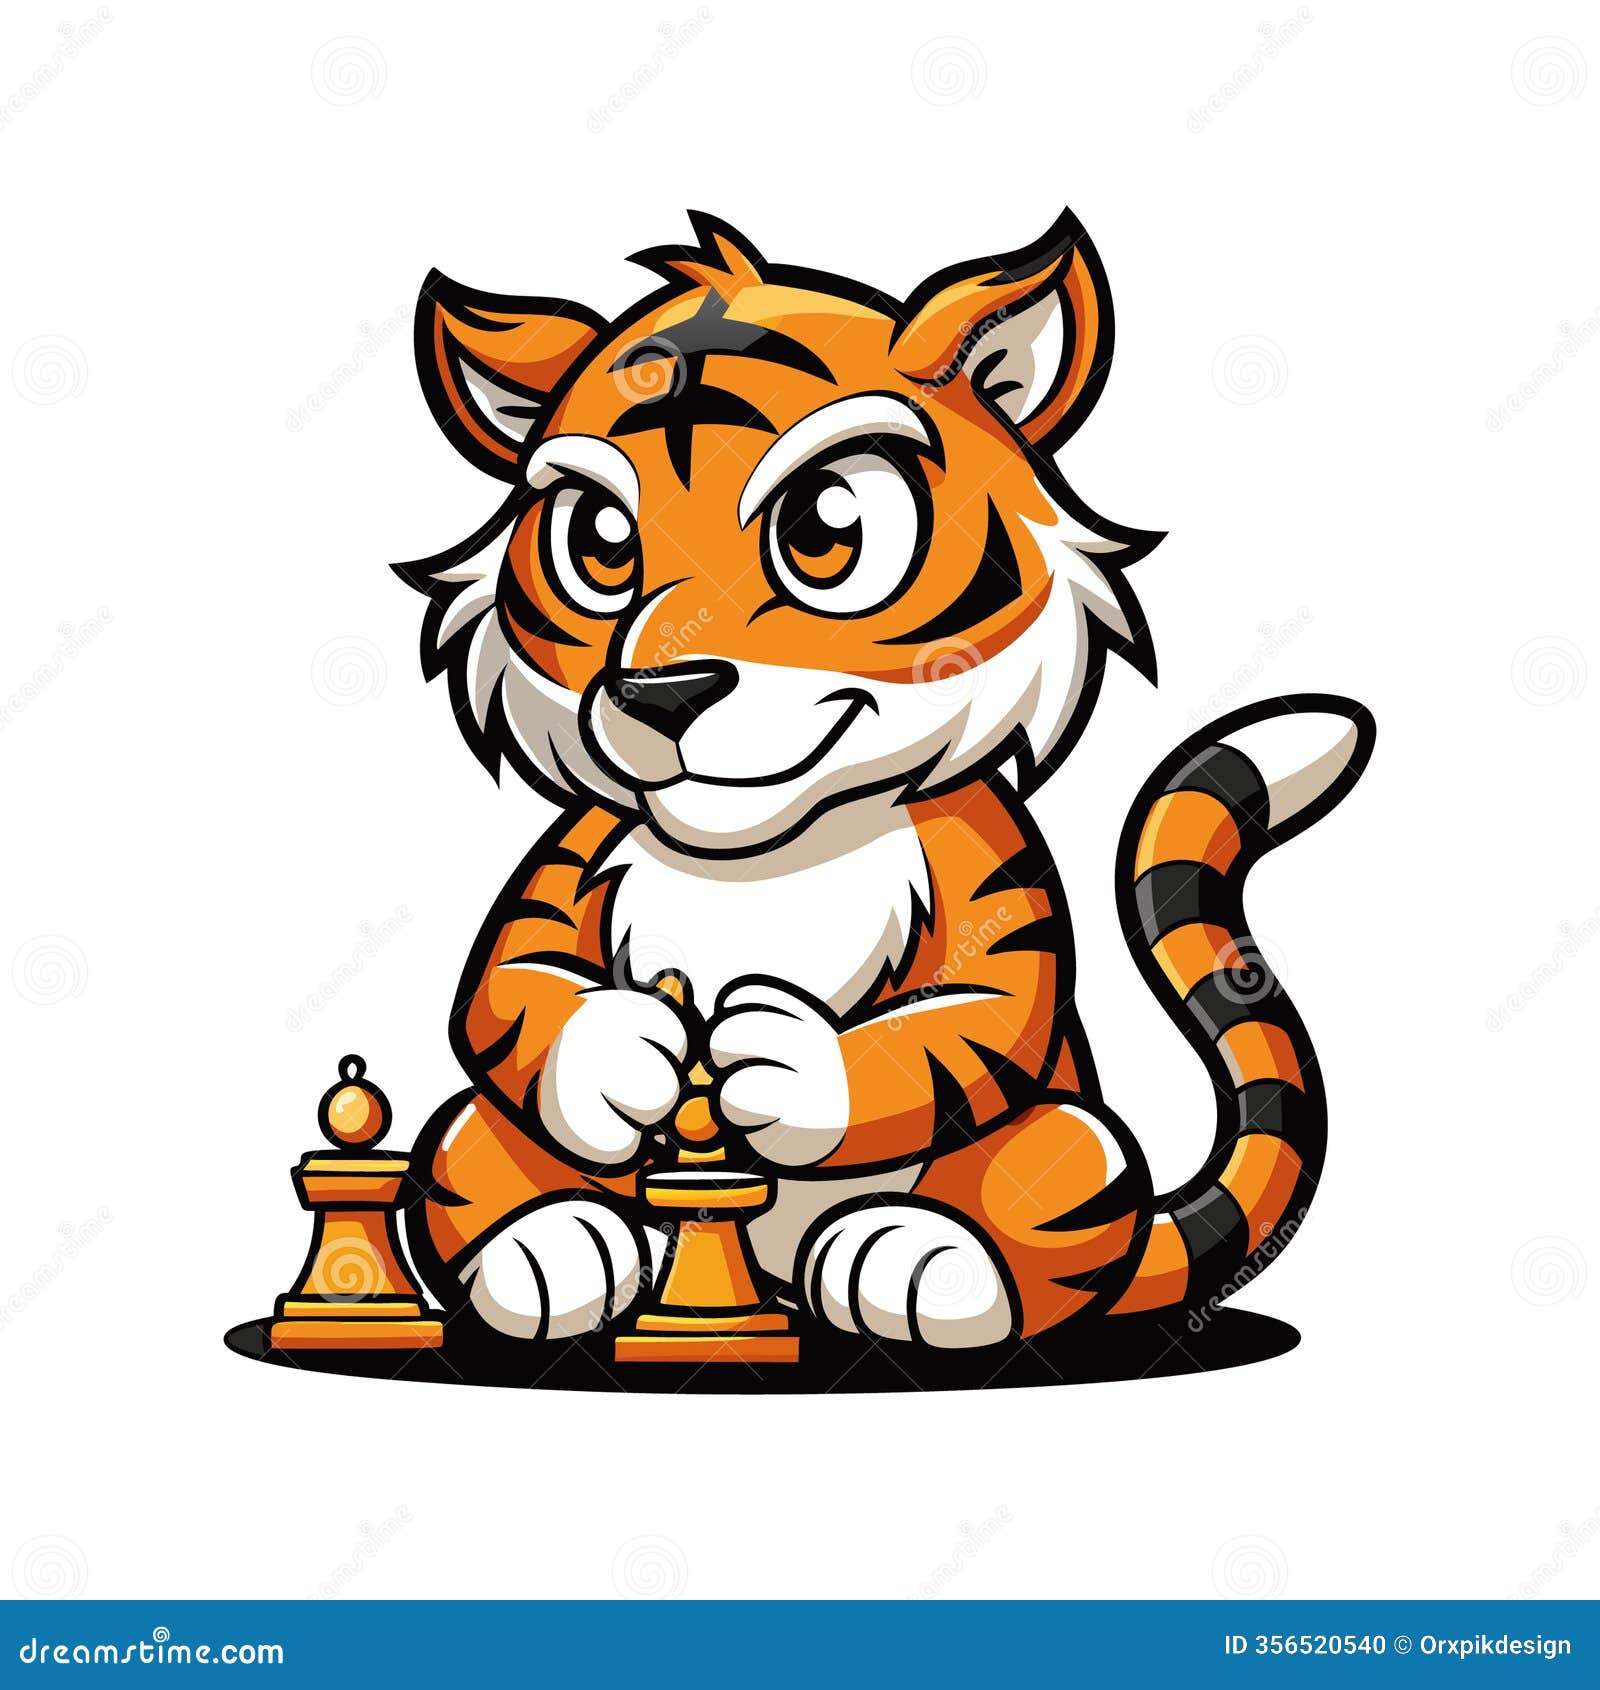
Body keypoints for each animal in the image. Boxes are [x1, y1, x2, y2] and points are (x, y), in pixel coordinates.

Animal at [394, 207, 1374, 1354]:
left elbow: (978, 1016)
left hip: (1073, 1149)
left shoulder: (988, 864)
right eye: (599, 542)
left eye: (825, 527)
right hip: (467, 1140)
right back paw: (551, 1251)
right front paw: (623, 1044)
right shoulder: (578, 846)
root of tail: (776, 1279)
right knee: (472, 1150)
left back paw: (911, 1264)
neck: (766, 850)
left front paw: (782, 1057)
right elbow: (509, 986)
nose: (660, 691)